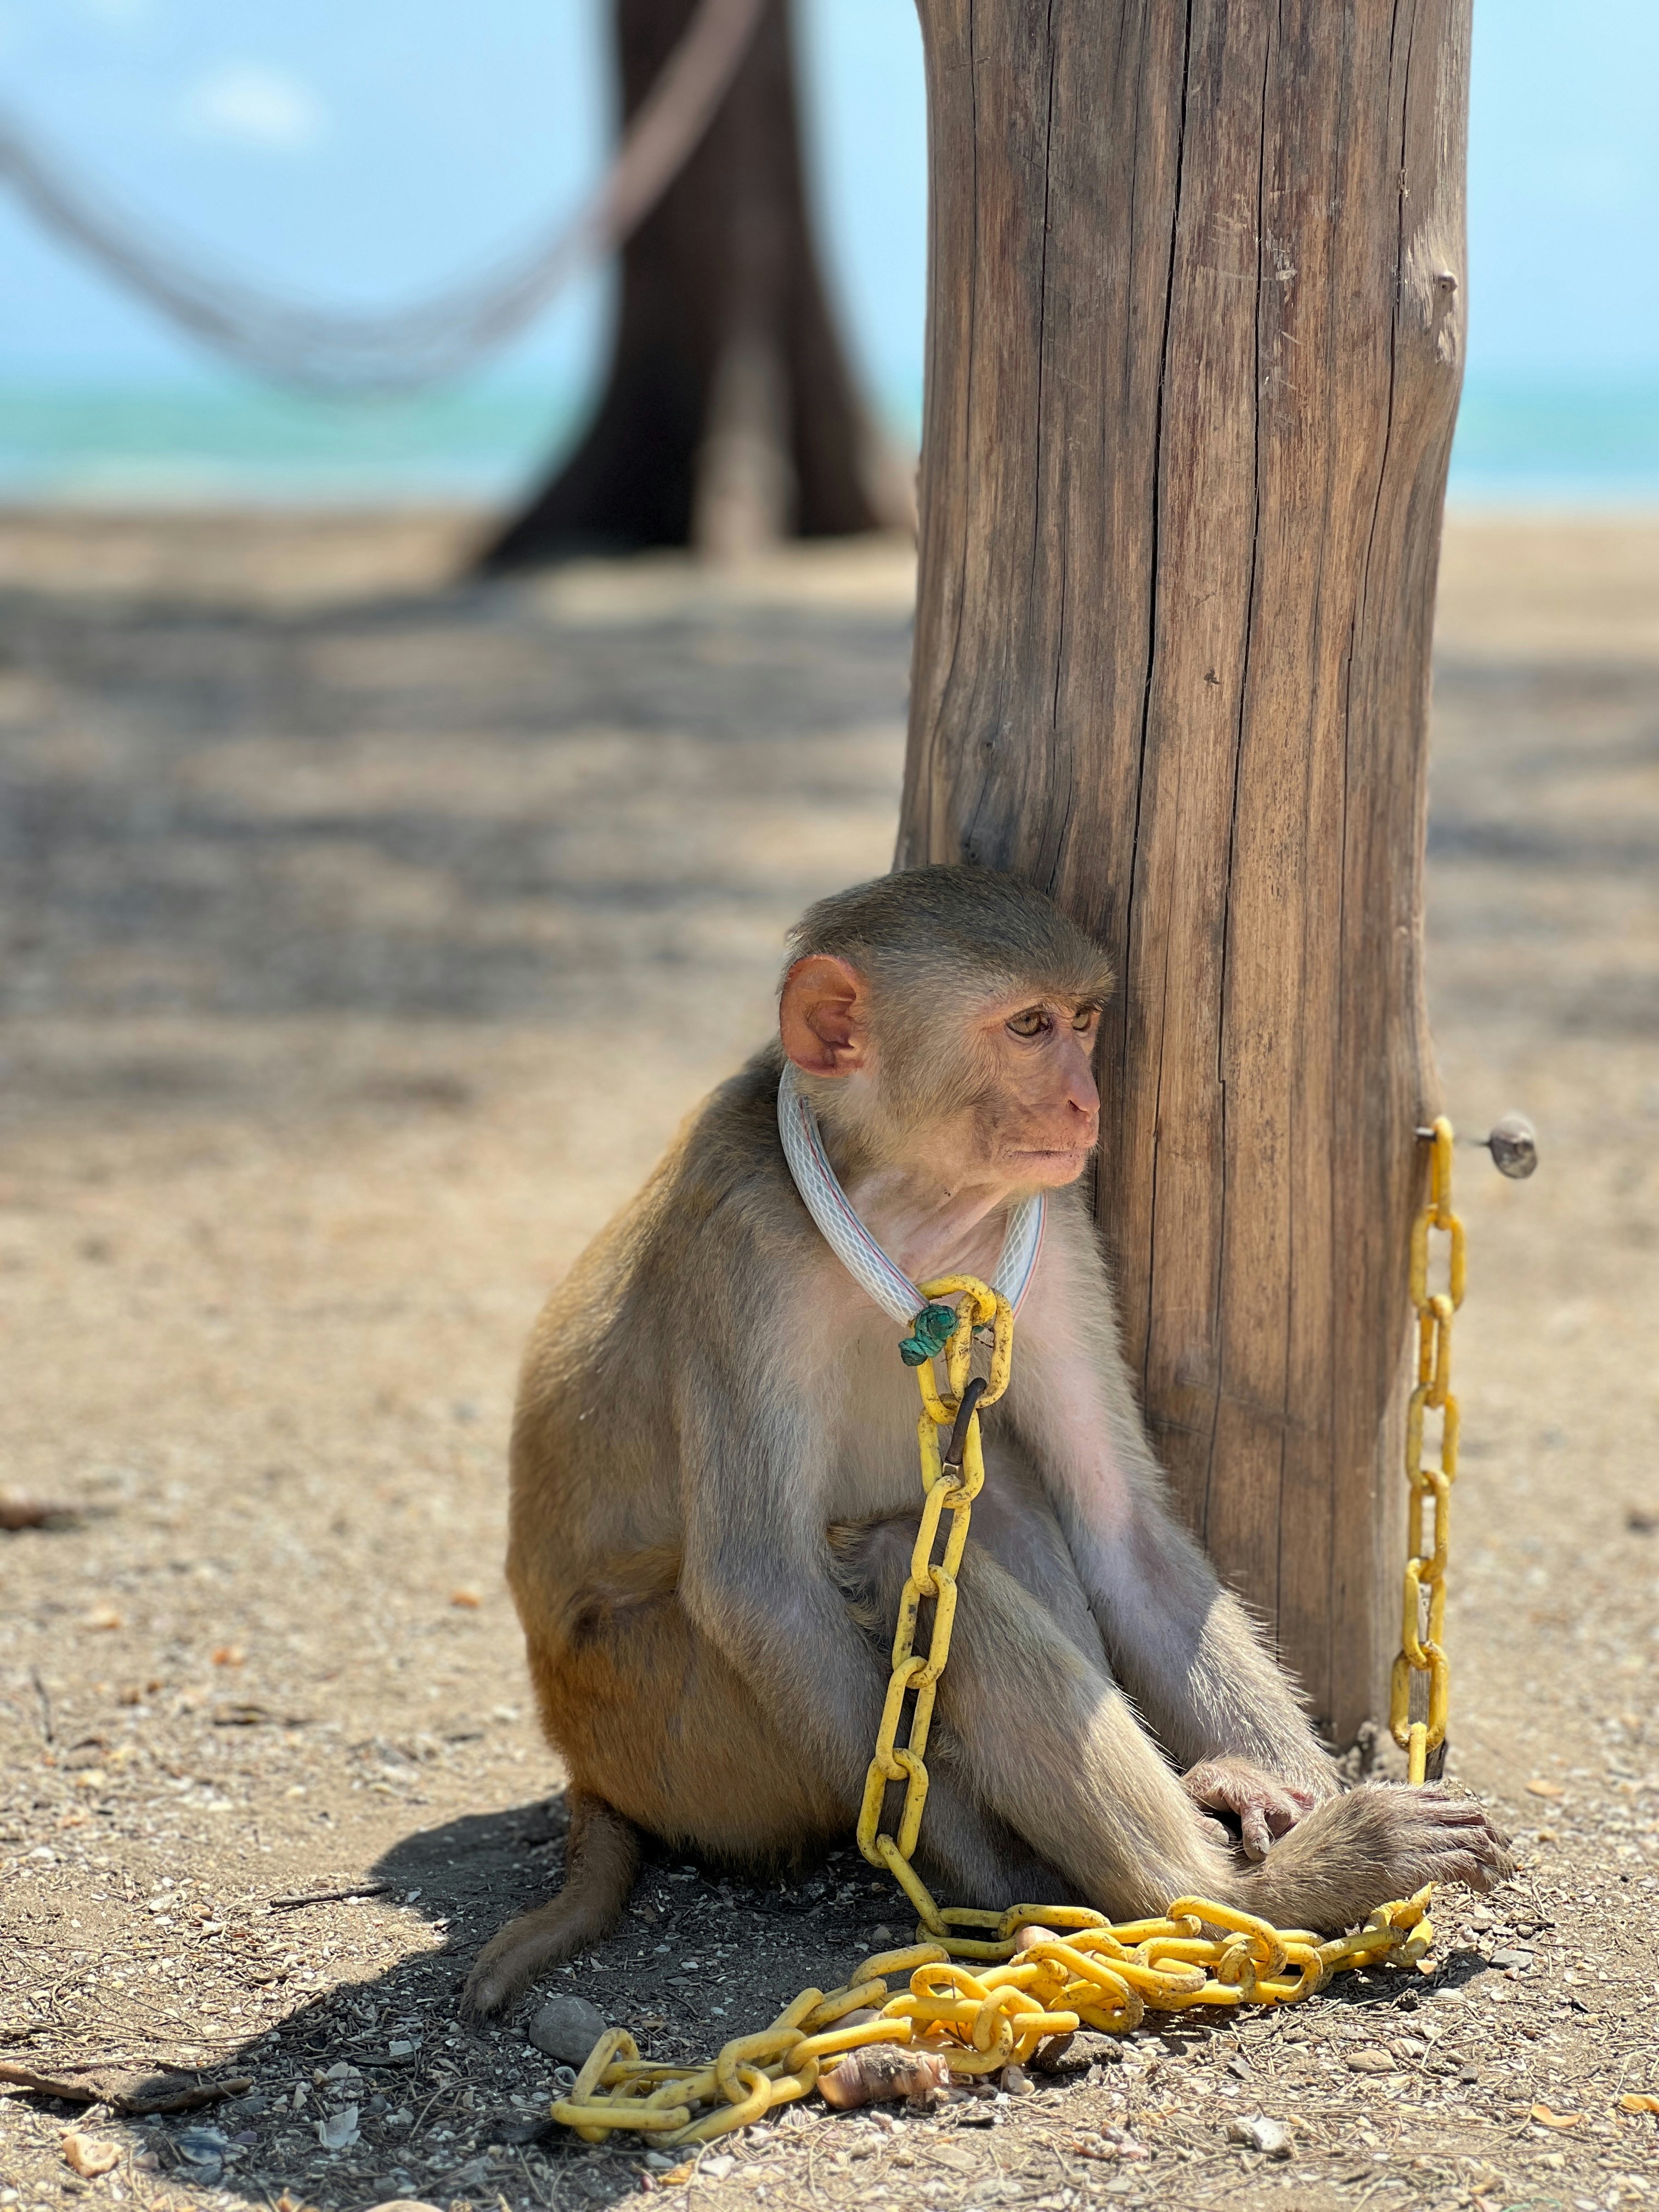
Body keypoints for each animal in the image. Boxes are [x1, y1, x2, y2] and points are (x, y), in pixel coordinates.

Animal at [463, 866, 1511, 2015]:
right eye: (1026, 1026)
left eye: (1082, 1020)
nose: (1085, 1102)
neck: (897, 1196)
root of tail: (583, 1755)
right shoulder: (741, 1250)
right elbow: (759, 1589)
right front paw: (1019, 1882)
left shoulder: (1049, 1224)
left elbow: (1116, 1522)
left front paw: (1282, 1780)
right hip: (691, 1737)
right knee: (902, 1565)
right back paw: (1230, 1890)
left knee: (989, 1495)